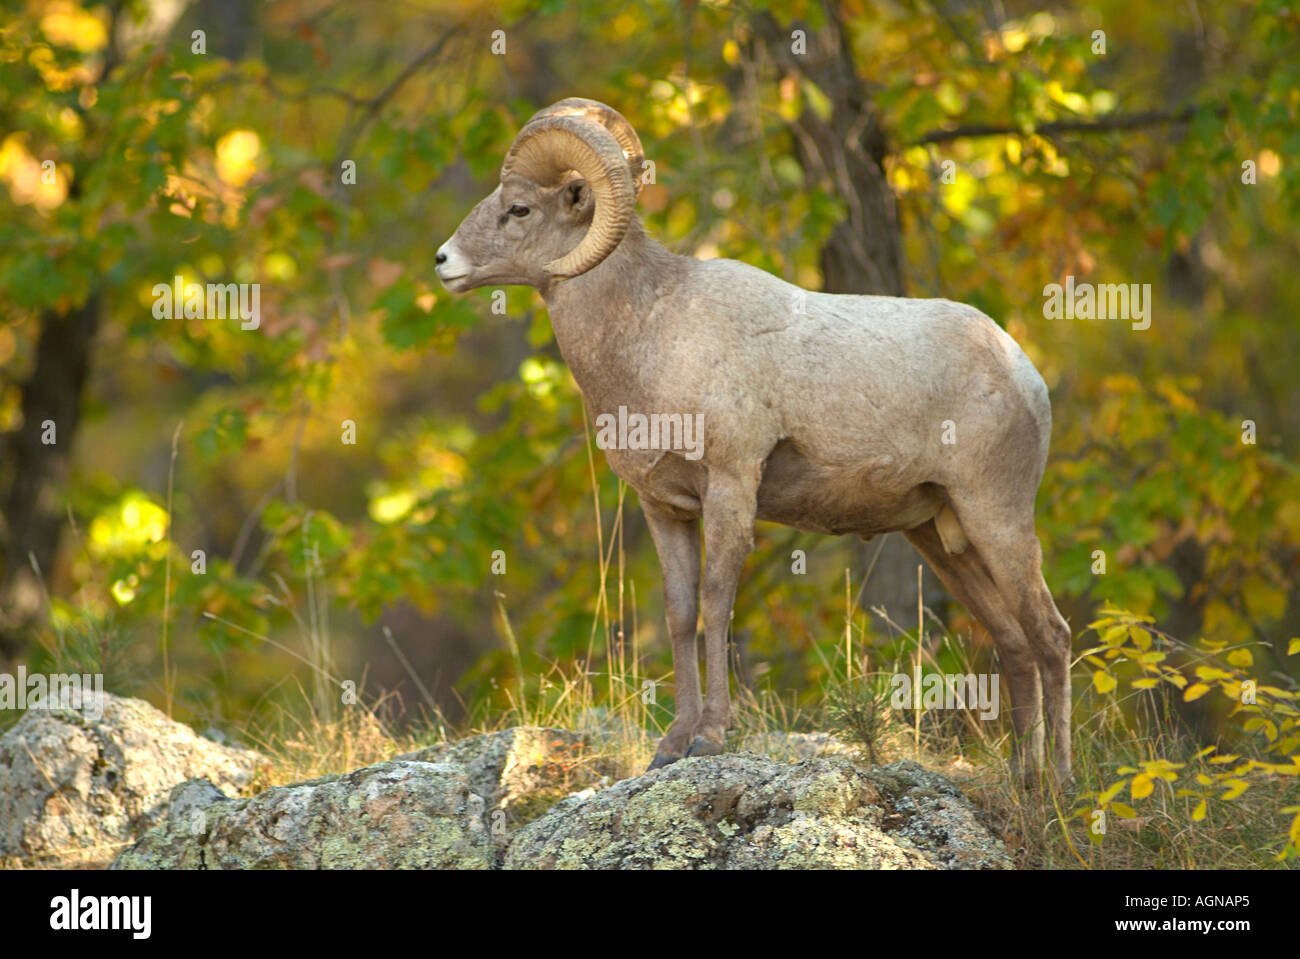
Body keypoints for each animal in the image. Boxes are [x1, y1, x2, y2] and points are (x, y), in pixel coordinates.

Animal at [436, 98, 1073, 783]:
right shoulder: (665, 509)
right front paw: (671, 747)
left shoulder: (731, 488)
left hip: (996, 517)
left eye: (519, 208)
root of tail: (1023, 372)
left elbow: (717, 604)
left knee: (1051, 635)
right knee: (1014, 643)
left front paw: (711, 739)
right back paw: (1026, 779)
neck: (653, 335)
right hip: (941, 537)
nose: (443, 262)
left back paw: (1062, 785)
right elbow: (681, 612)